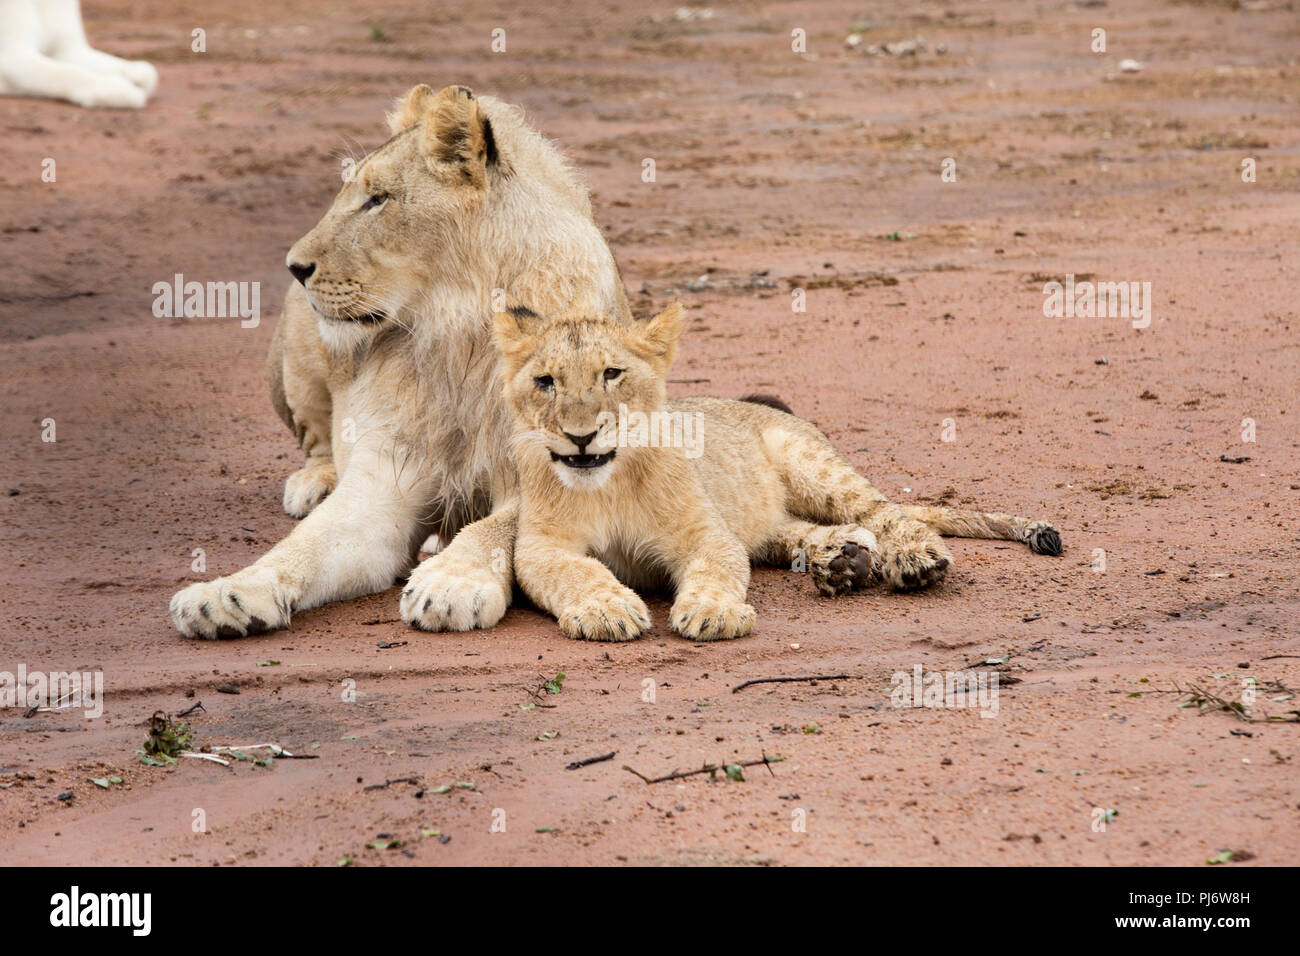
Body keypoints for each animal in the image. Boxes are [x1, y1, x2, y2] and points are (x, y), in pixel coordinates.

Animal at [169, 84, 633, 638]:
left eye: (378, 199)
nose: (294, 267)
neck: (457, 336)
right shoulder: (385, 477)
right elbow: (303, 546)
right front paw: (227, 593)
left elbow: (499, 526)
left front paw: (452, 580)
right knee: (317, 443)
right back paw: (315, 483)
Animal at [493, 304, 1063, 641]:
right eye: (545, 381)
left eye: (612, 373)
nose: (581, 436)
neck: (607, 484)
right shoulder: (540, 545)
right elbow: (576, 570)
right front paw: (607, 609)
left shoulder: (705, 532)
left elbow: (717, 568)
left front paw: (714, 614)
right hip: (774, 521)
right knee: (811, 532)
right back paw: (844, 560)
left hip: (811, 464)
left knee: (888, 512)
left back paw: (911, 560)